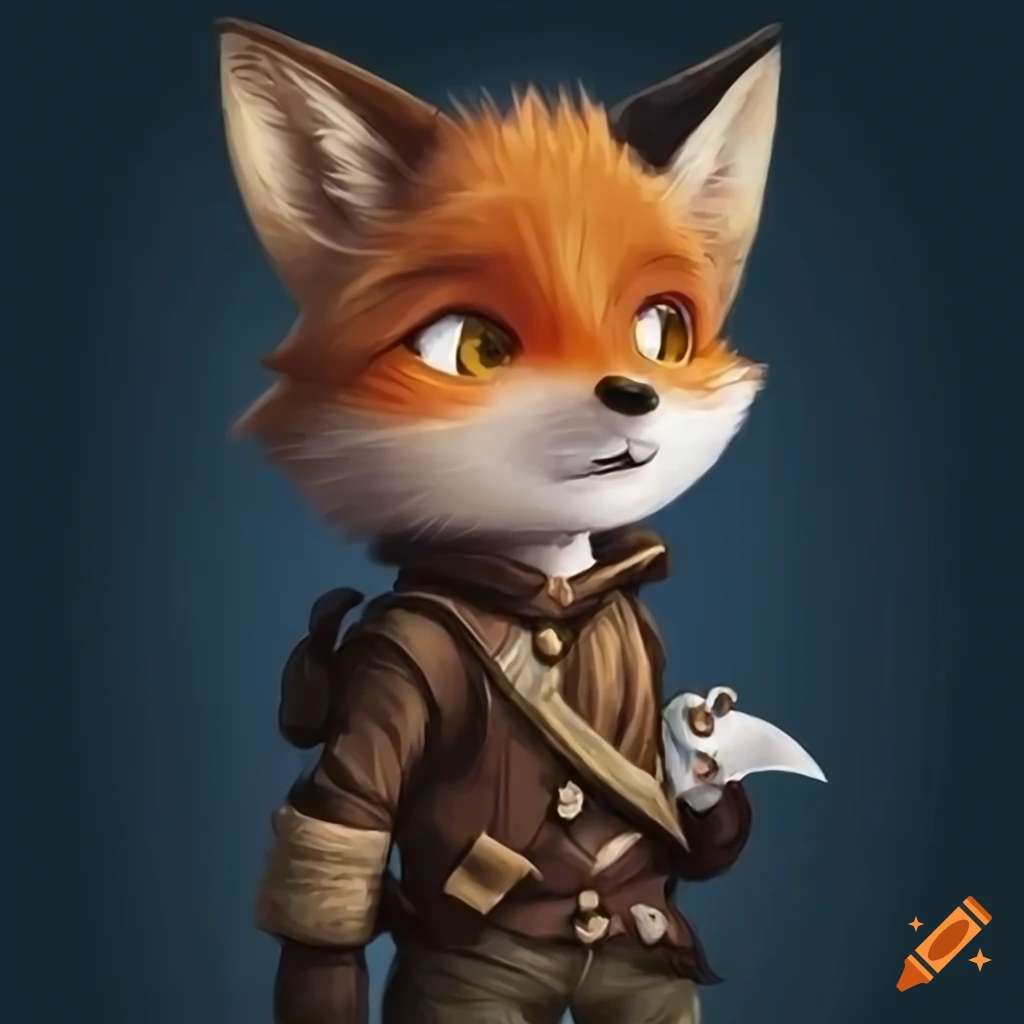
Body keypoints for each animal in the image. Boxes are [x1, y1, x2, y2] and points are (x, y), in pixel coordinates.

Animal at [218, 17, 784, 1024]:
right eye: (472, 349)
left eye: (662, 332)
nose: (633, 394)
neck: (547, 588)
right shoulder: (398, 658)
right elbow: (344, 831)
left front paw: (699, 765)